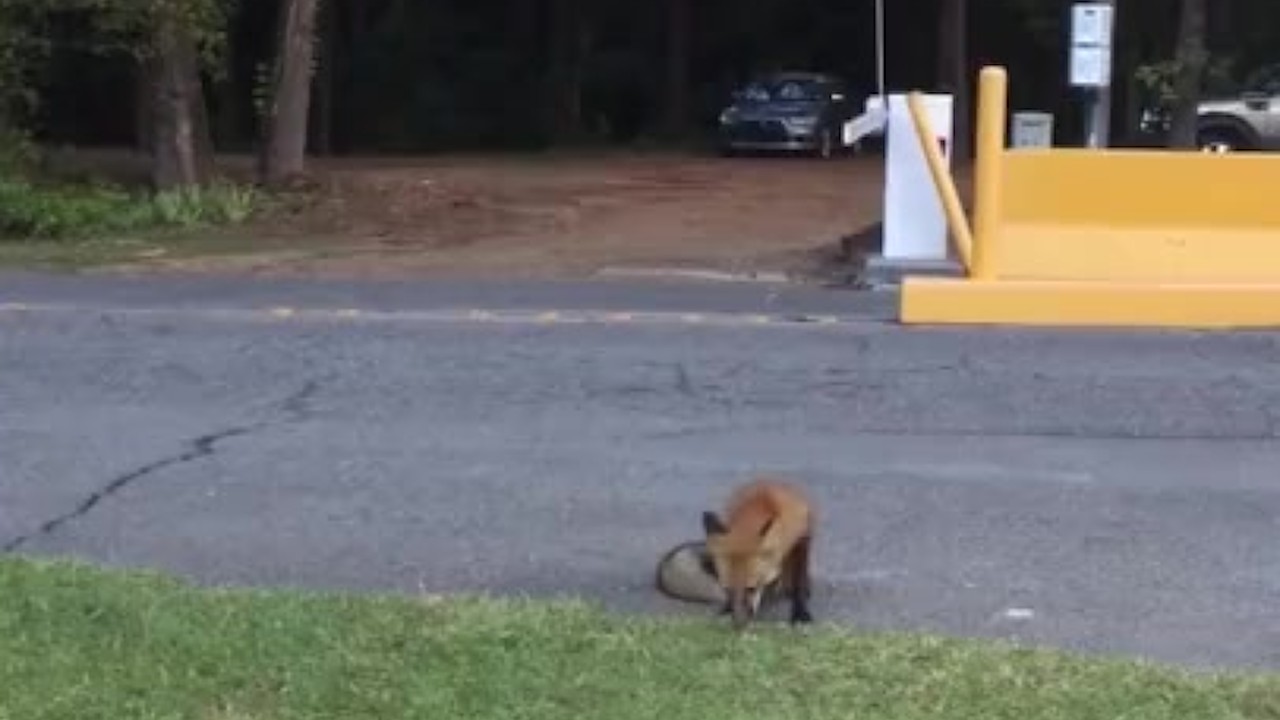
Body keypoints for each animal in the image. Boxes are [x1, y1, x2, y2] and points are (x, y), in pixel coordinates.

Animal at [699, 477, 816, 630]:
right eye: (727, 589)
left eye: (751, 588)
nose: (738, 625)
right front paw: (727, 609)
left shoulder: (802, 539)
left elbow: (798, 585)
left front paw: (800, 613)